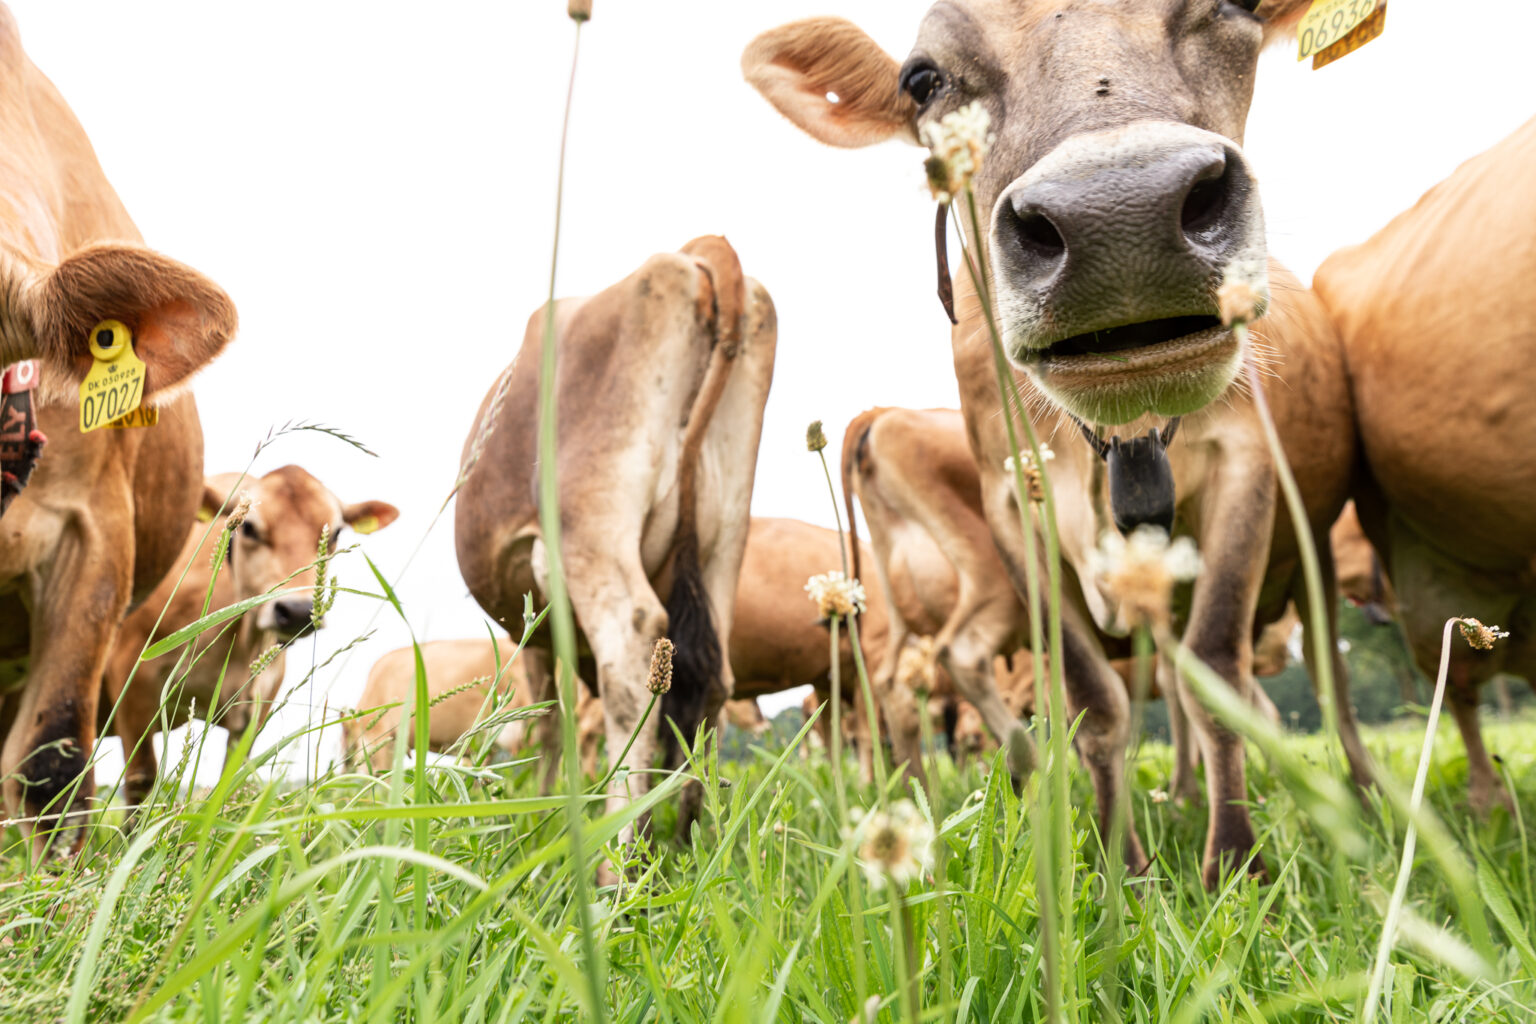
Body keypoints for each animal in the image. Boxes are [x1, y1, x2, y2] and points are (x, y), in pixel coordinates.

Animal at [98, 467, 397, 806]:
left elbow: (231, 780)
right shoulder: (131, 676)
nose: (297, 611)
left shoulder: (256, 704)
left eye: (335, 534)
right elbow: (141, 778)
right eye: (250, 528)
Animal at [454, 237, 775, 858]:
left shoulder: (536, 624)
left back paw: (620, 859)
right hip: (726, 535)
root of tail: (699, 256)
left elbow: (547, 720)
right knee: (709, 681)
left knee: (632, 653)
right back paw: (689, 841)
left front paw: (536, 813)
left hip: (593, 525)